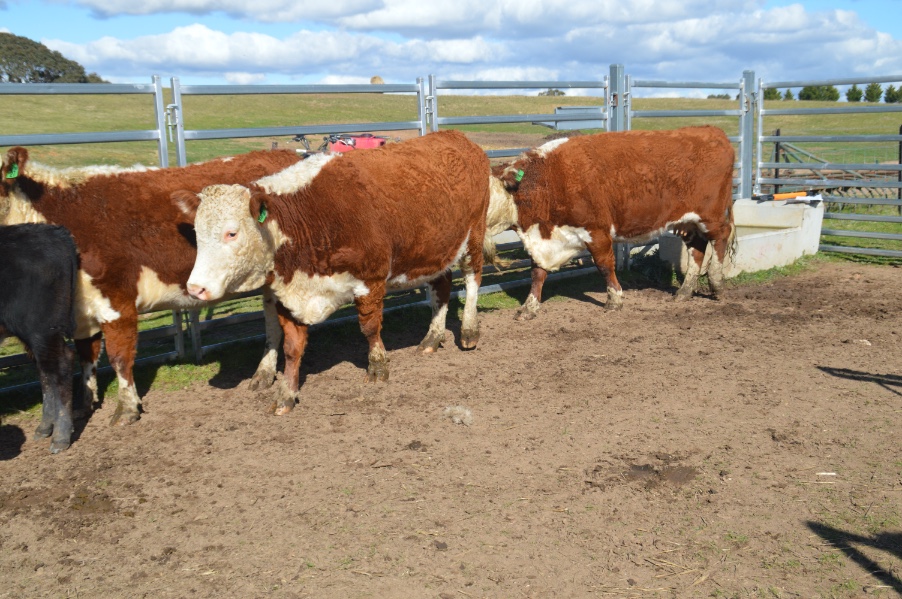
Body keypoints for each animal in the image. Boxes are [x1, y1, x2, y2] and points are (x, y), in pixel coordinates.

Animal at [0, 147, 303, 425]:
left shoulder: (116, 299)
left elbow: (119, 356)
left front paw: (126, 408)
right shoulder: (81, 308)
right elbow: (87, 355)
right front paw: (85, 403)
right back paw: (263, 374)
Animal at [174, 130, 491, 415]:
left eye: (232, 233)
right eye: (197, 233)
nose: (196, 288)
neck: (309, 217)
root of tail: (457, 137)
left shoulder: (371, 279)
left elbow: (370, 327)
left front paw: (378, 366)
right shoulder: (289, 294)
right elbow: (291, 348)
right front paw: (286, 394)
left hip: (473, 236)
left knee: (472, 279)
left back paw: (469, 331)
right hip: (437, 249)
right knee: (441, 287)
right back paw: (432, 338)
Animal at [489, 126, 735, 320]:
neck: (550, 180)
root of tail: (712, 131)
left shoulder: (596, 231)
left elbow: (605, 265)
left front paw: (614, 299)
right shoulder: (542, 240)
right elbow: (537, 273)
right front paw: (529, 308)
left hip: (710, 216)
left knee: (721, 236)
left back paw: (717, 284)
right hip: (690, 221)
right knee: (697, 248)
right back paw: (684, 292)